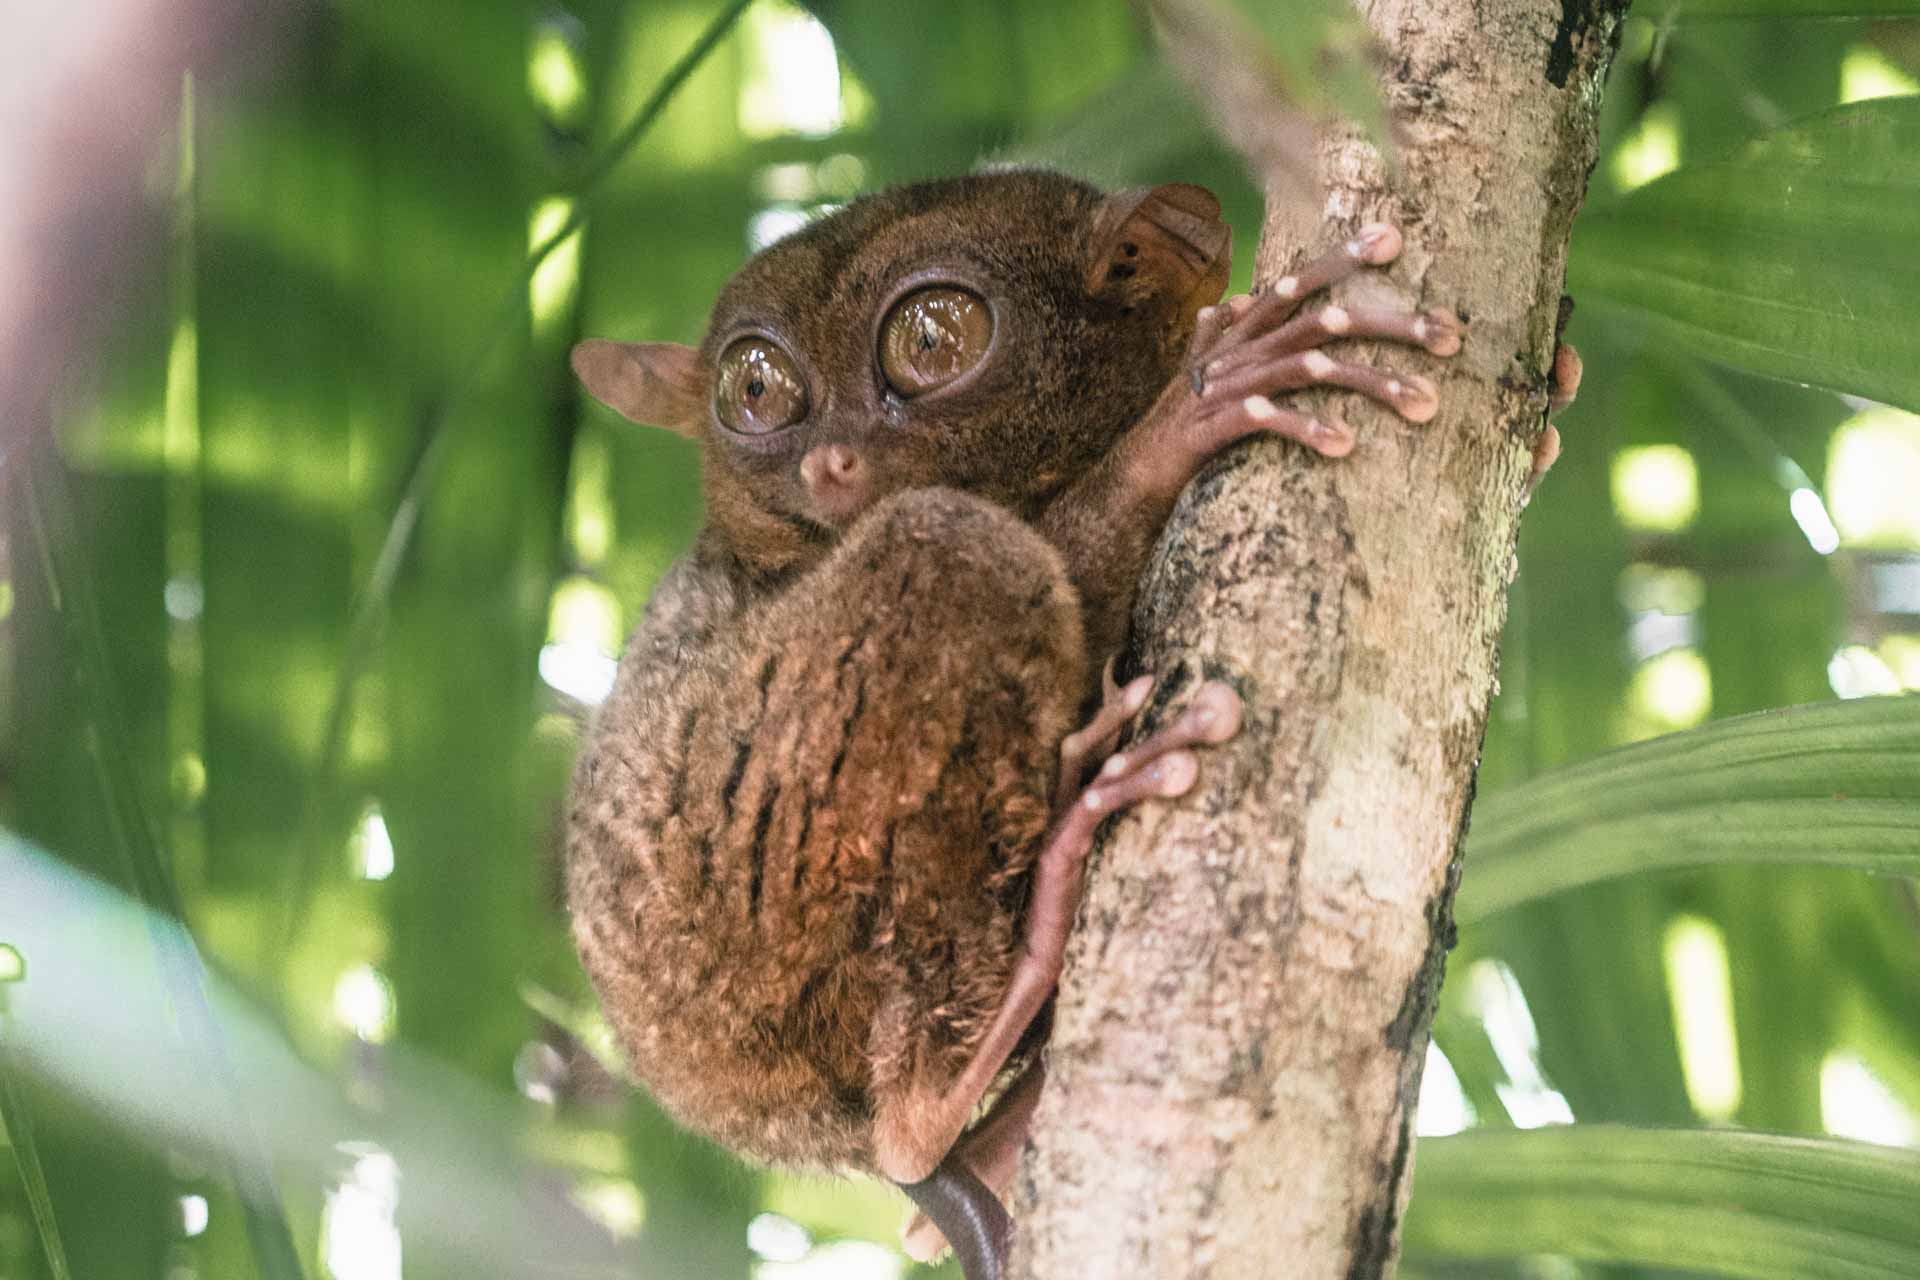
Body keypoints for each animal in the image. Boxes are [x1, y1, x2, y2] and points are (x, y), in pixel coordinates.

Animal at [563, 170, 1538, 1279]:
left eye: (933, 340)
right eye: (759, 391)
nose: (829, 462)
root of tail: (714, 1095)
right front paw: (1194, 406)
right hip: (732, 894)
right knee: (951, 539)